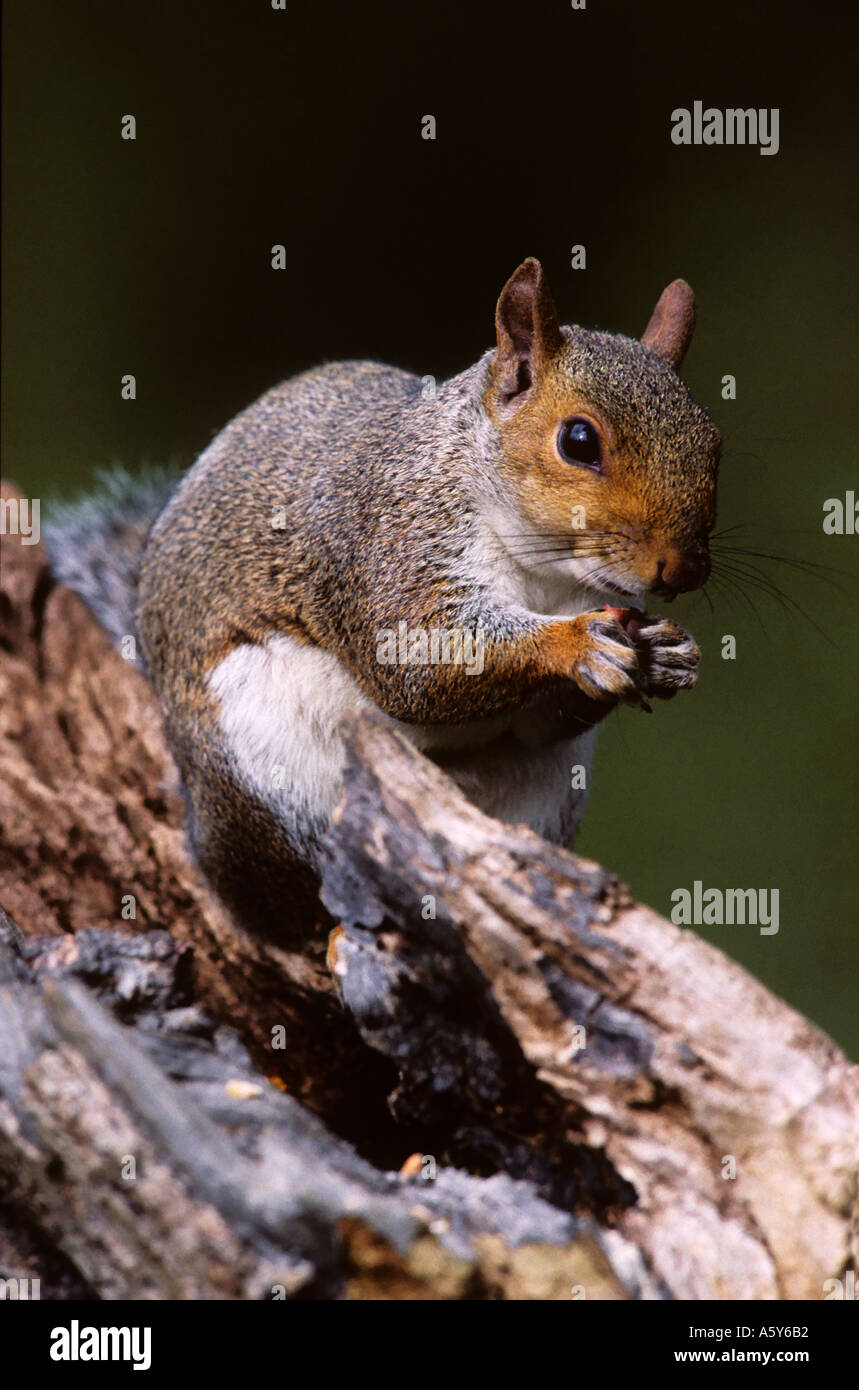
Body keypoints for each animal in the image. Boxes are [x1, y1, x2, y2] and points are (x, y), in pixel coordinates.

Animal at [46, 258, 721, 942]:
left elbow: (544, 722)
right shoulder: (389, 543)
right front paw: (578, 643)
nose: (684, 569)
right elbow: (416, 664)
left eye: (714, 443)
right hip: (260, 768)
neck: (548, 575)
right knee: (279, 904)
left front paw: (667, 654)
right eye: (579, 440)